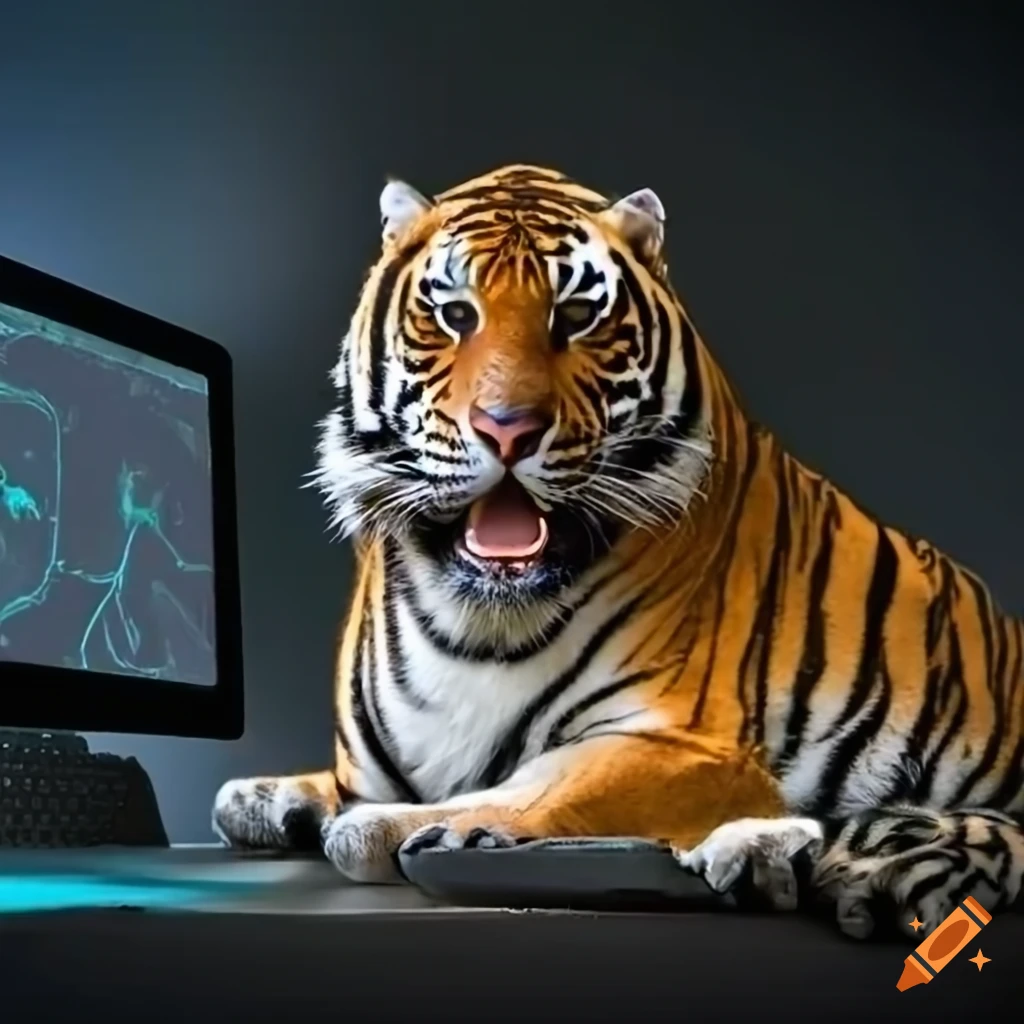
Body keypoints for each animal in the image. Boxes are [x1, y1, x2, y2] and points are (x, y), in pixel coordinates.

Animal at [212, 163, 1024, 939]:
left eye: (574, 317)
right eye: (455, 314)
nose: (507, 427)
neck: (477, 614)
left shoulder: (688, 746)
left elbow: (542, 784)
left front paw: (418, 828)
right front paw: (271, 796)